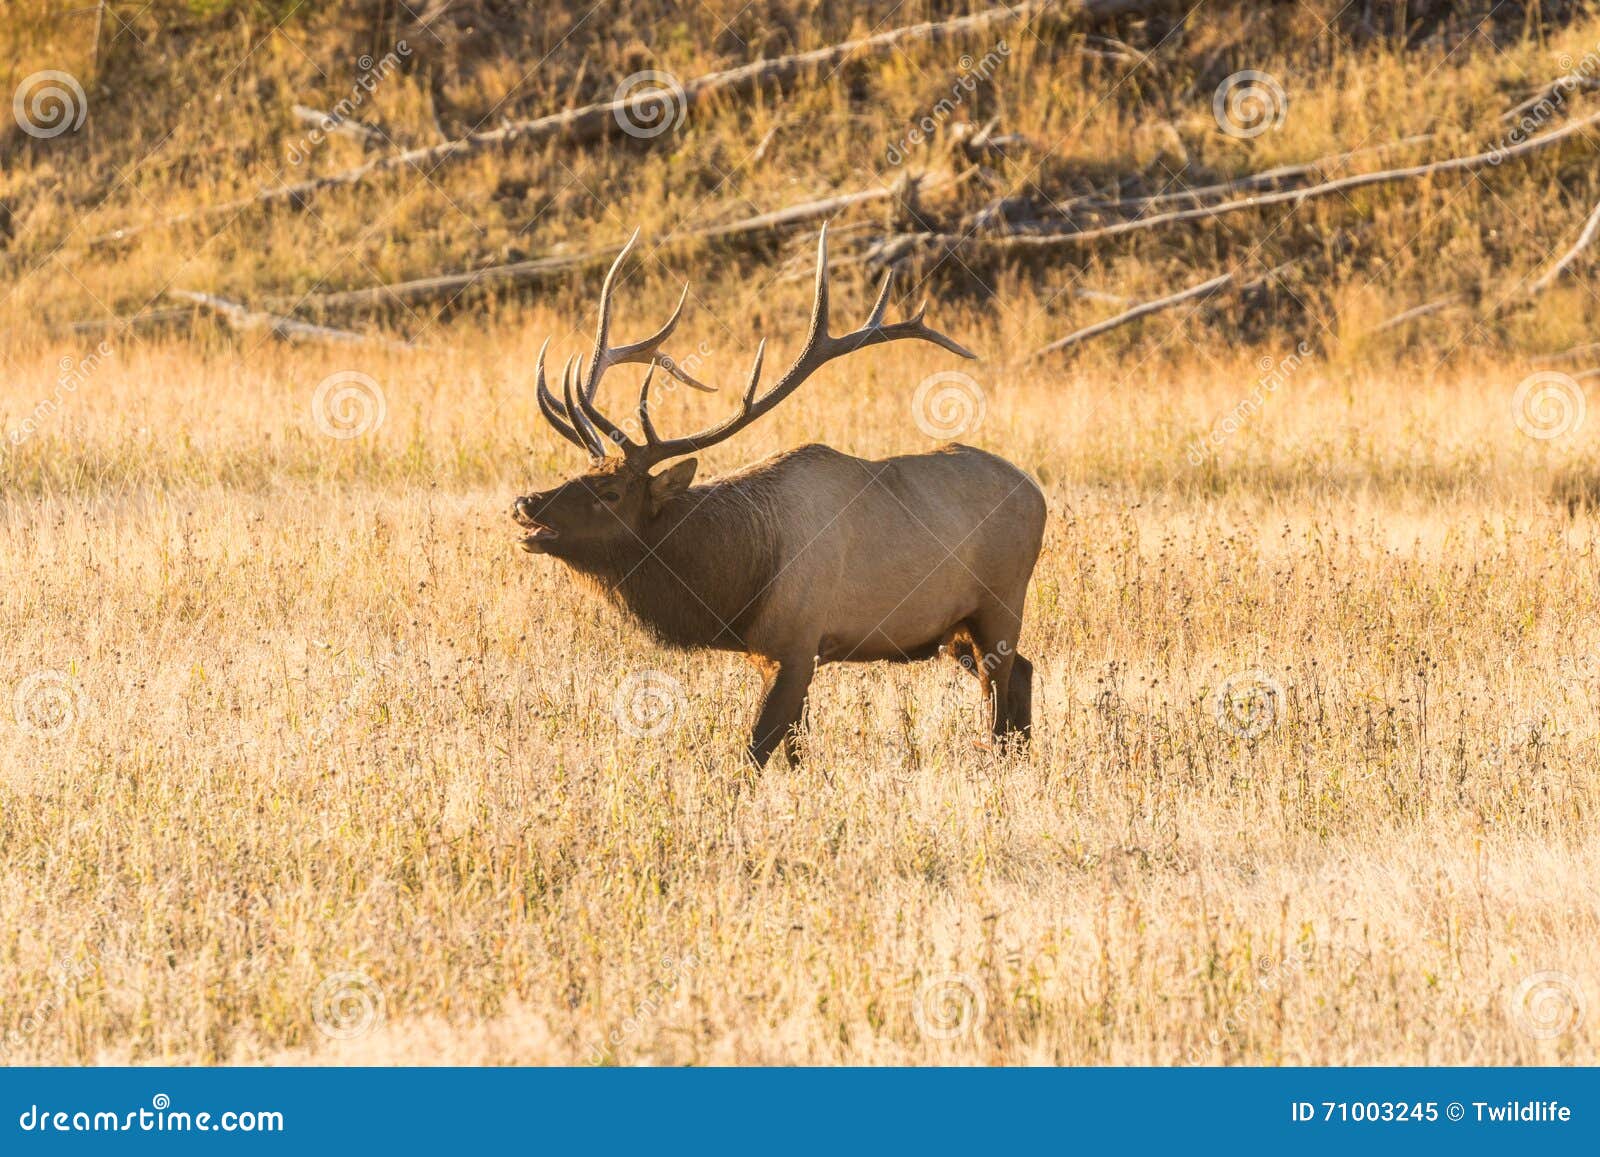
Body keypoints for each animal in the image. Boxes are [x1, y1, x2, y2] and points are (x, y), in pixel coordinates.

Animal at [512, 225, 1046, 768]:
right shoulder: (770, 655)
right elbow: (794, 751)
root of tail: (1036, 490)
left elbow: (755, 751)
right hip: (953, 628)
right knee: (1023, 672)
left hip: (1001, 603)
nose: (526, 503)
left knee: (1000, 694)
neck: (738, 579)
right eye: (583, 471)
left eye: (612, 492)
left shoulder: (796, 645)